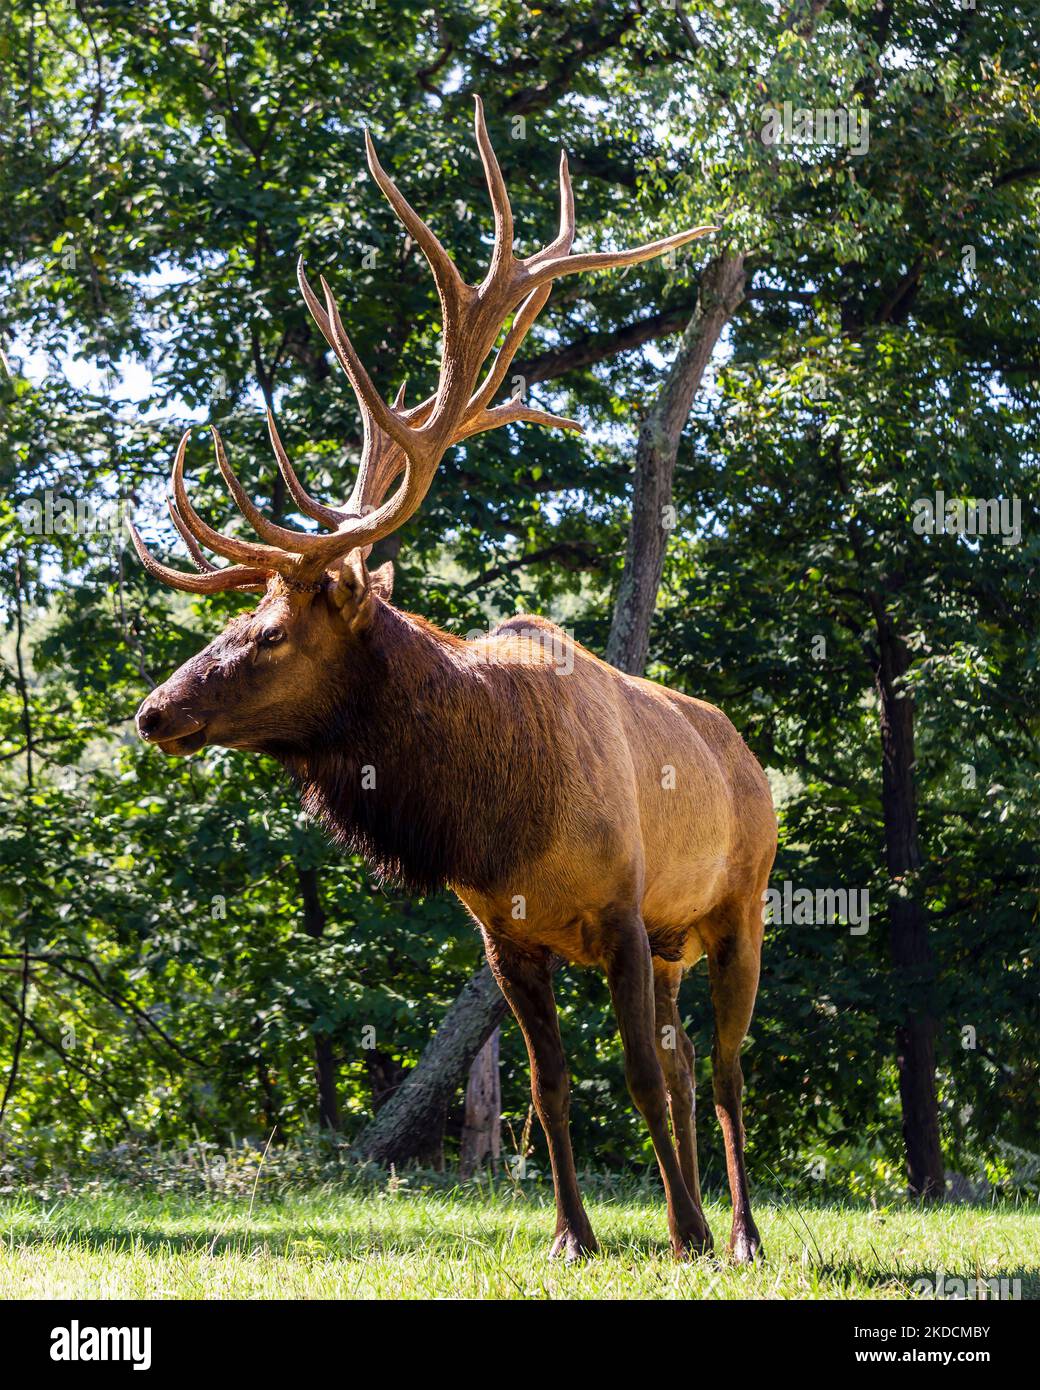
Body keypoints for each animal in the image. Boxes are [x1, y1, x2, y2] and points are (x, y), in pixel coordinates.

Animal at [131, 98, 777, 1264]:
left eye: (269, 632)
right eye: (235, 621)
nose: (156, 711)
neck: (497, 808)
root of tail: (749, 757)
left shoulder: (620, 909)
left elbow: (637, 1078)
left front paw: (683, 1236)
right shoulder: (506, 934)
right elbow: (553, 1087)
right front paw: (576, 1236)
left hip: (738, 904)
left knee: (723, 1070)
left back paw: (739, 1231)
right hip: (673, 940)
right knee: (686, 1060)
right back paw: (703, 1217)